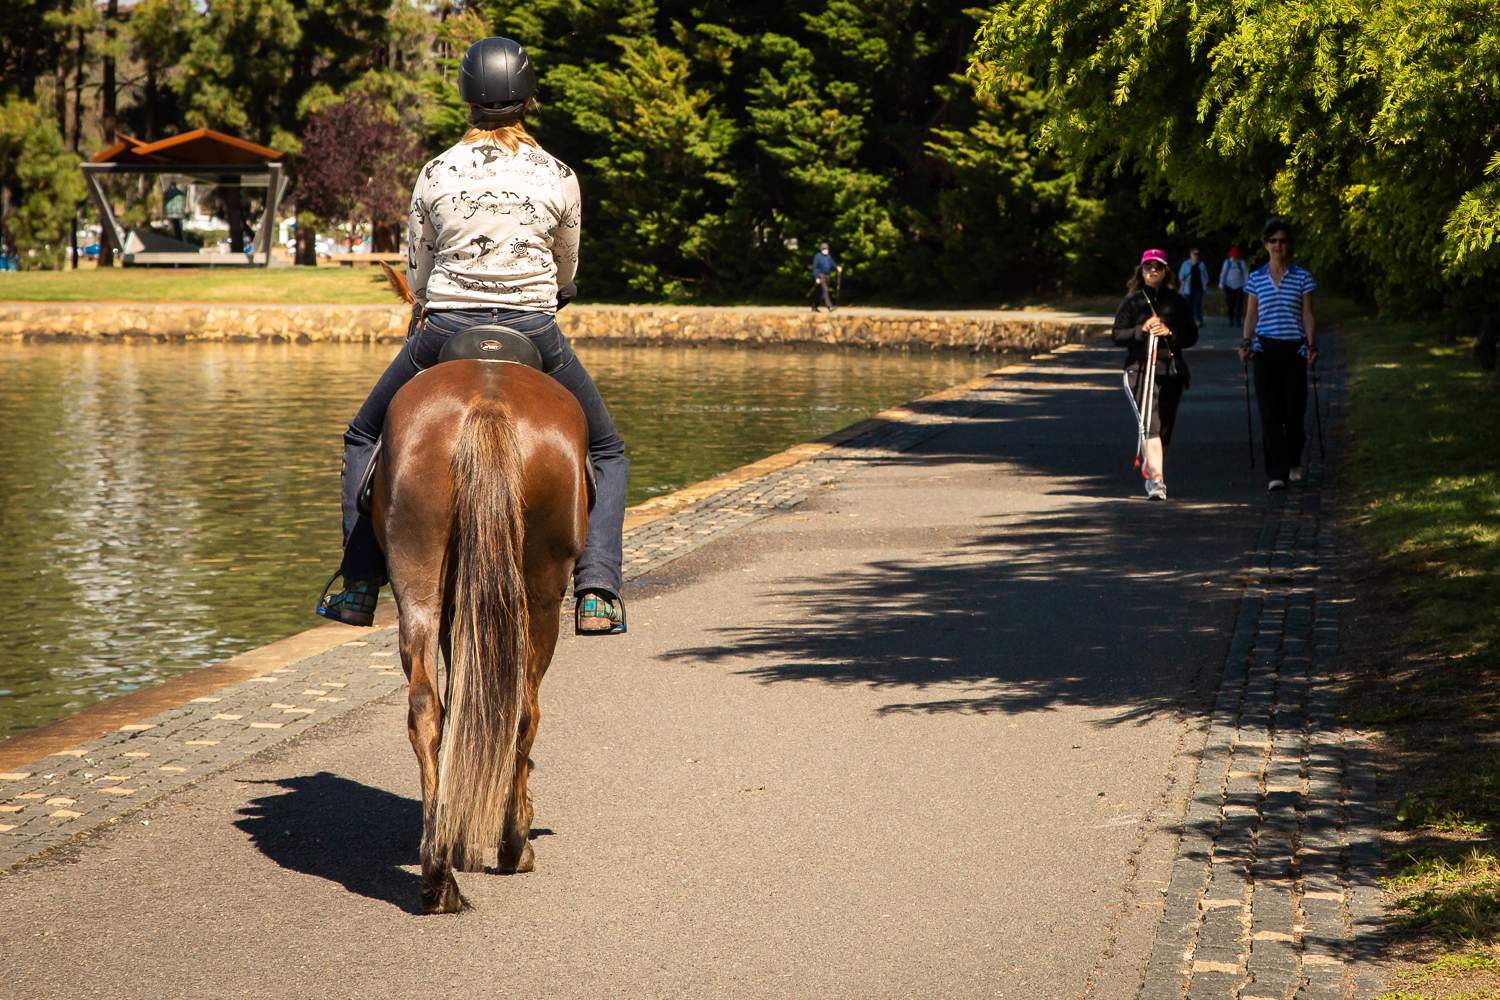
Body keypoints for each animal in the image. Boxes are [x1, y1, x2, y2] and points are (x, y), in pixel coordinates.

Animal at [370, 265, 591, 914]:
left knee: (427, 707)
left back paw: (438, 871)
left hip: (419, 577)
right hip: (541, 593)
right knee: (523, 708)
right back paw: (513, 845)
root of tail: (487, 402)